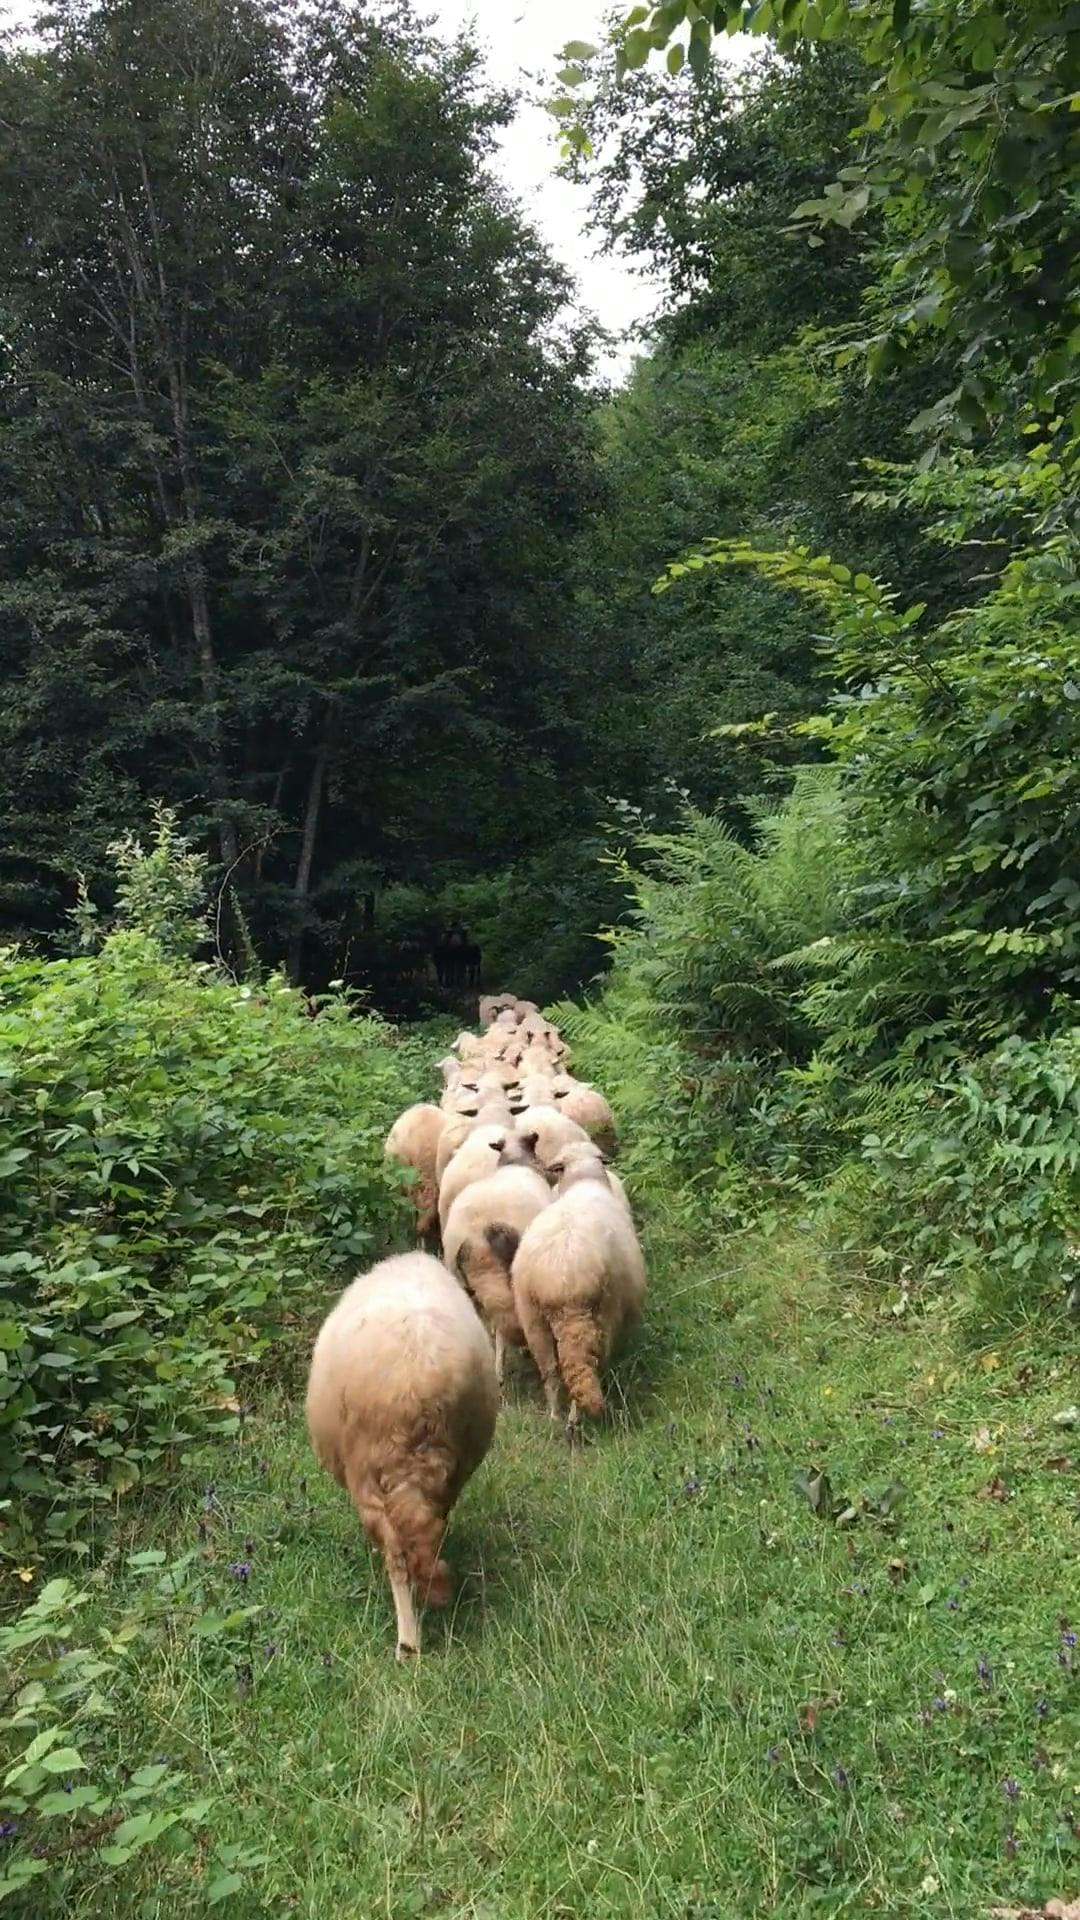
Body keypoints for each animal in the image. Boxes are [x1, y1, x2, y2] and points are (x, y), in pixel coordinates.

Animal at [511, 1144, 645, 1432]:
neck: (583, 1182)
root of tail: (562, 1276)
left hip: (533, 1319)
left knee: (551, 1369)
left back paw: (555, 1416)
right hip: (602, 1313)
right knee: (587, 1362)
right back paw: (575, 1419)